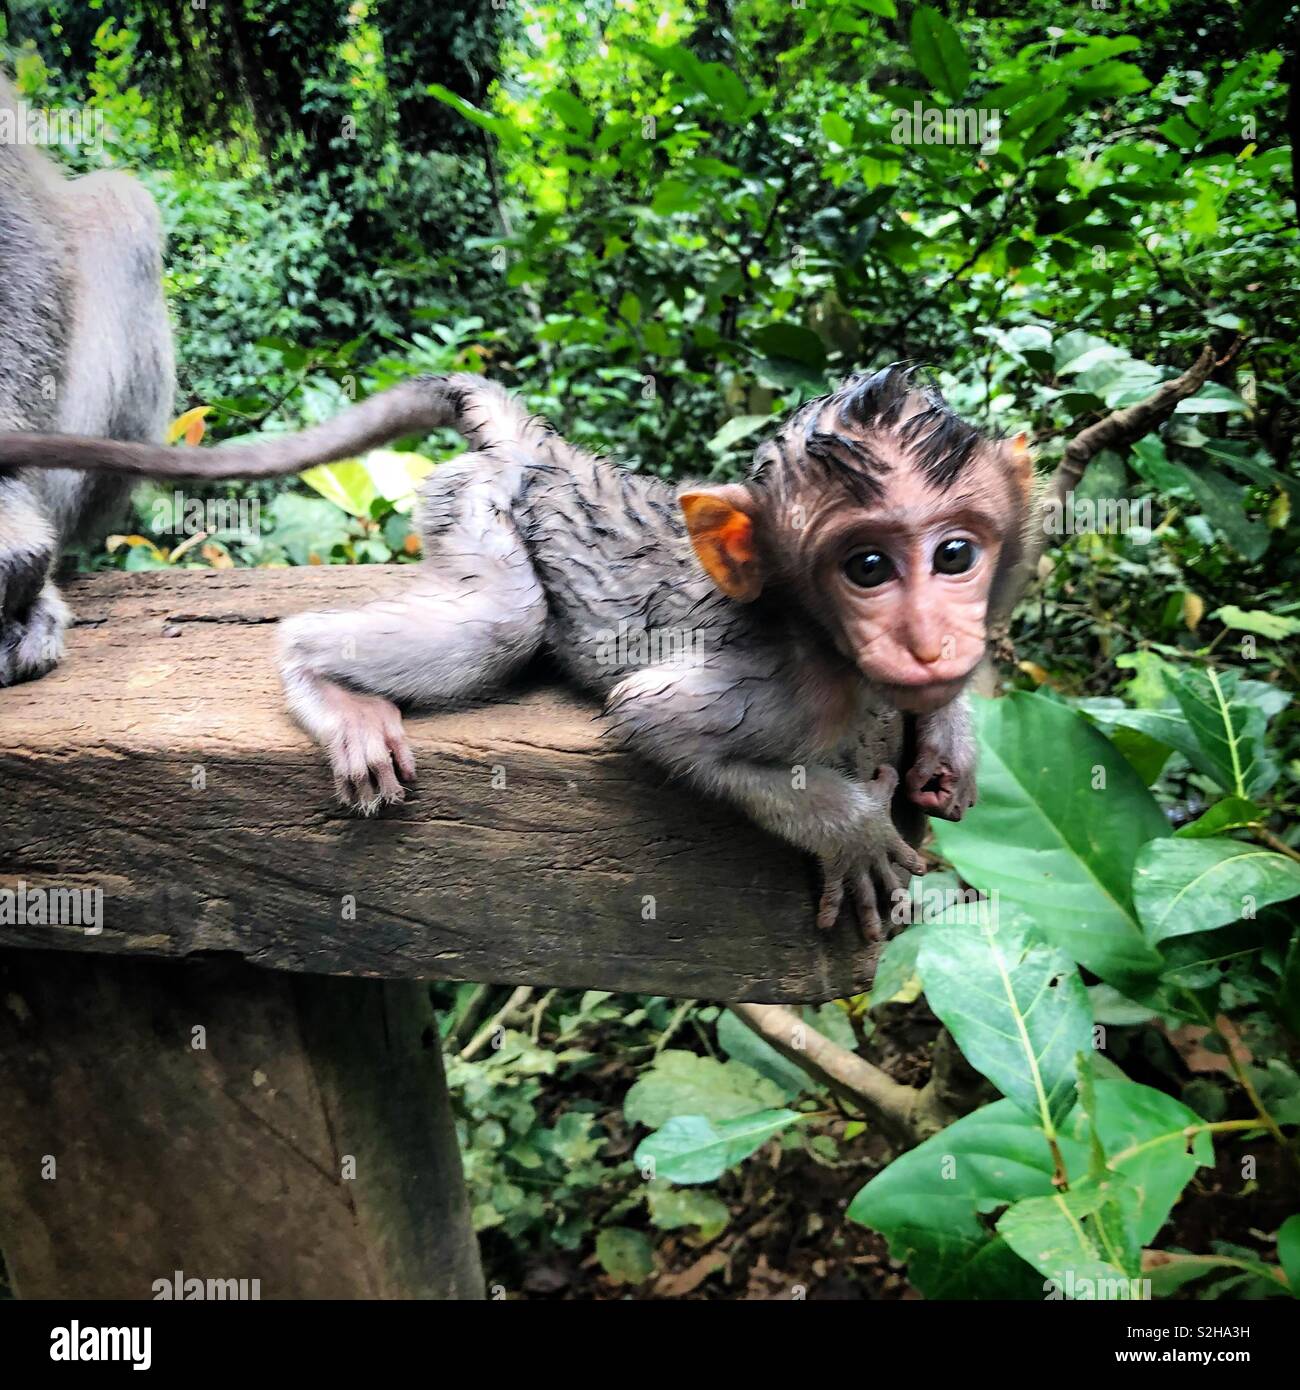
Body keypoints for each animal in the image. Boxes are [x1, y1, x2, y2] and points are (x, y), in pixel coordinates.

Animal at [0, 367, 1034, 939]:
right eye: (867, 567)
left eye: (956, 555)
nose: (930, 638)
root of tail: (546, 449)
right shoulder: (787, 685)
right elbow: (649, 718)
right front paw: (848, 827)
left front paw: (946, 738)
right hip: (476, 501)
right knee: (501, 626)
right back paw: (315, 668)